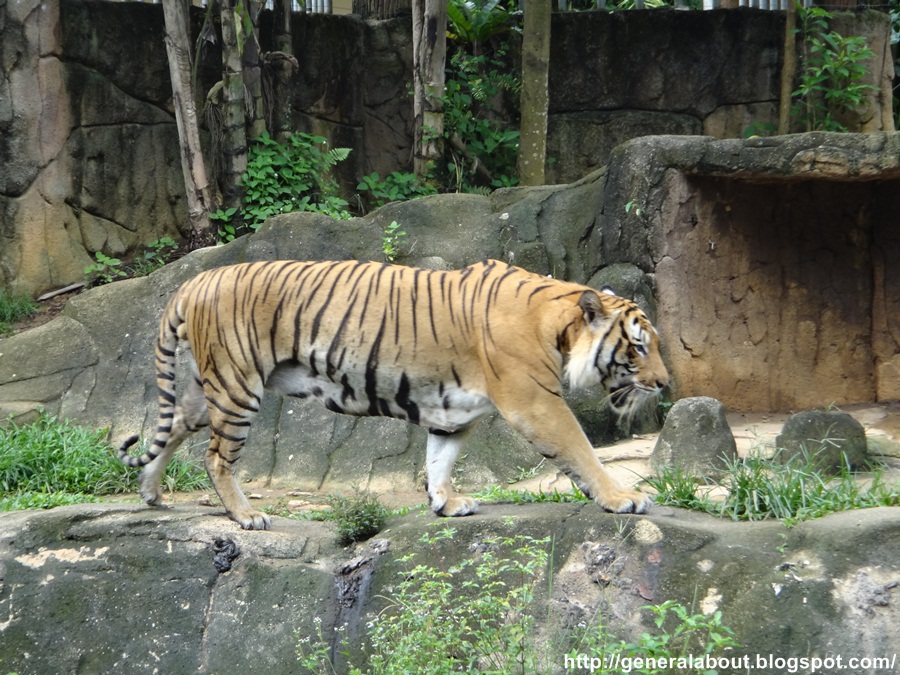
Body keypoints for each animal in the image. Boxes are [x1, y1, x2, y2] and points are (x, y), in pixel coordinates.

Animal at [118, 259, 669, 530]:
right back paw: (246, 515)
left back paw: (151, 493)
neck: (557, 326)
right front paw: (622, 498)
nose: (665, 384)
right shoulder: (536, 403)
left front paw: (446, 504)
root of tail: (194, 281)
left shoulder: (454, 410)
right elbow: (582, 450)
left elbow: (440, 458)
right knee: (216, 456)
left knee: (171, 428)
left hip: (204, 389)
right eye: (639, 347)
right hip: (237, 386)